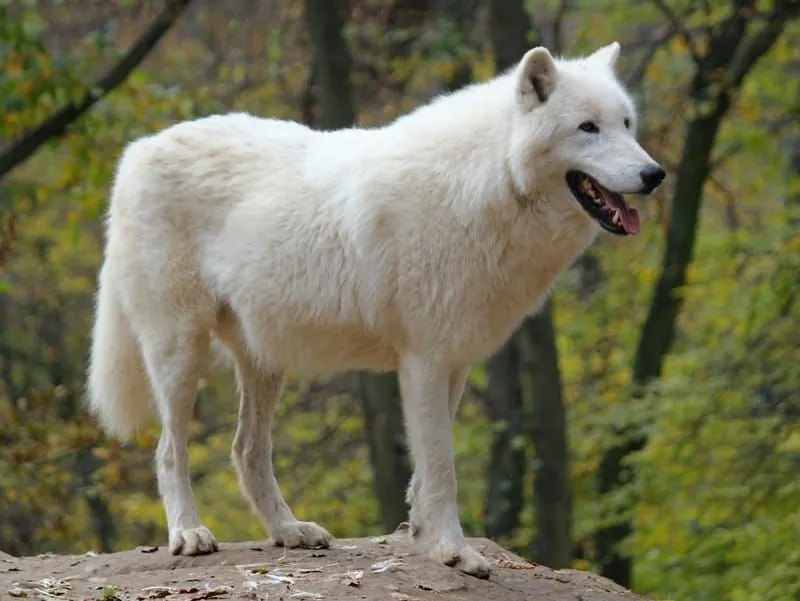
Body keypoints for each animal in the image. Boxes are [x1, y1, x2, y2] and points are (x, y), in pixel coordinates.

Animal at [87, 42, 664, 576]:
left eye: (626, 123)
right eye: (587, 128)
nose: (654, 173)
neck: (485, 185)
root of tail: (137, 150)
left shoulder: (454, 362)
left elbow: (427, 471)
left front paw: (425, 539)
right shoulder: (424, 362)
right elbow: (444, 467)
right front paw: (455, 552)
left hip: (264, 361)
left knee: (245, 451)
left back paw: (289, 531)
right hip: (179, 353)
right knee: (169, 451)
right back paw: (188, 533)